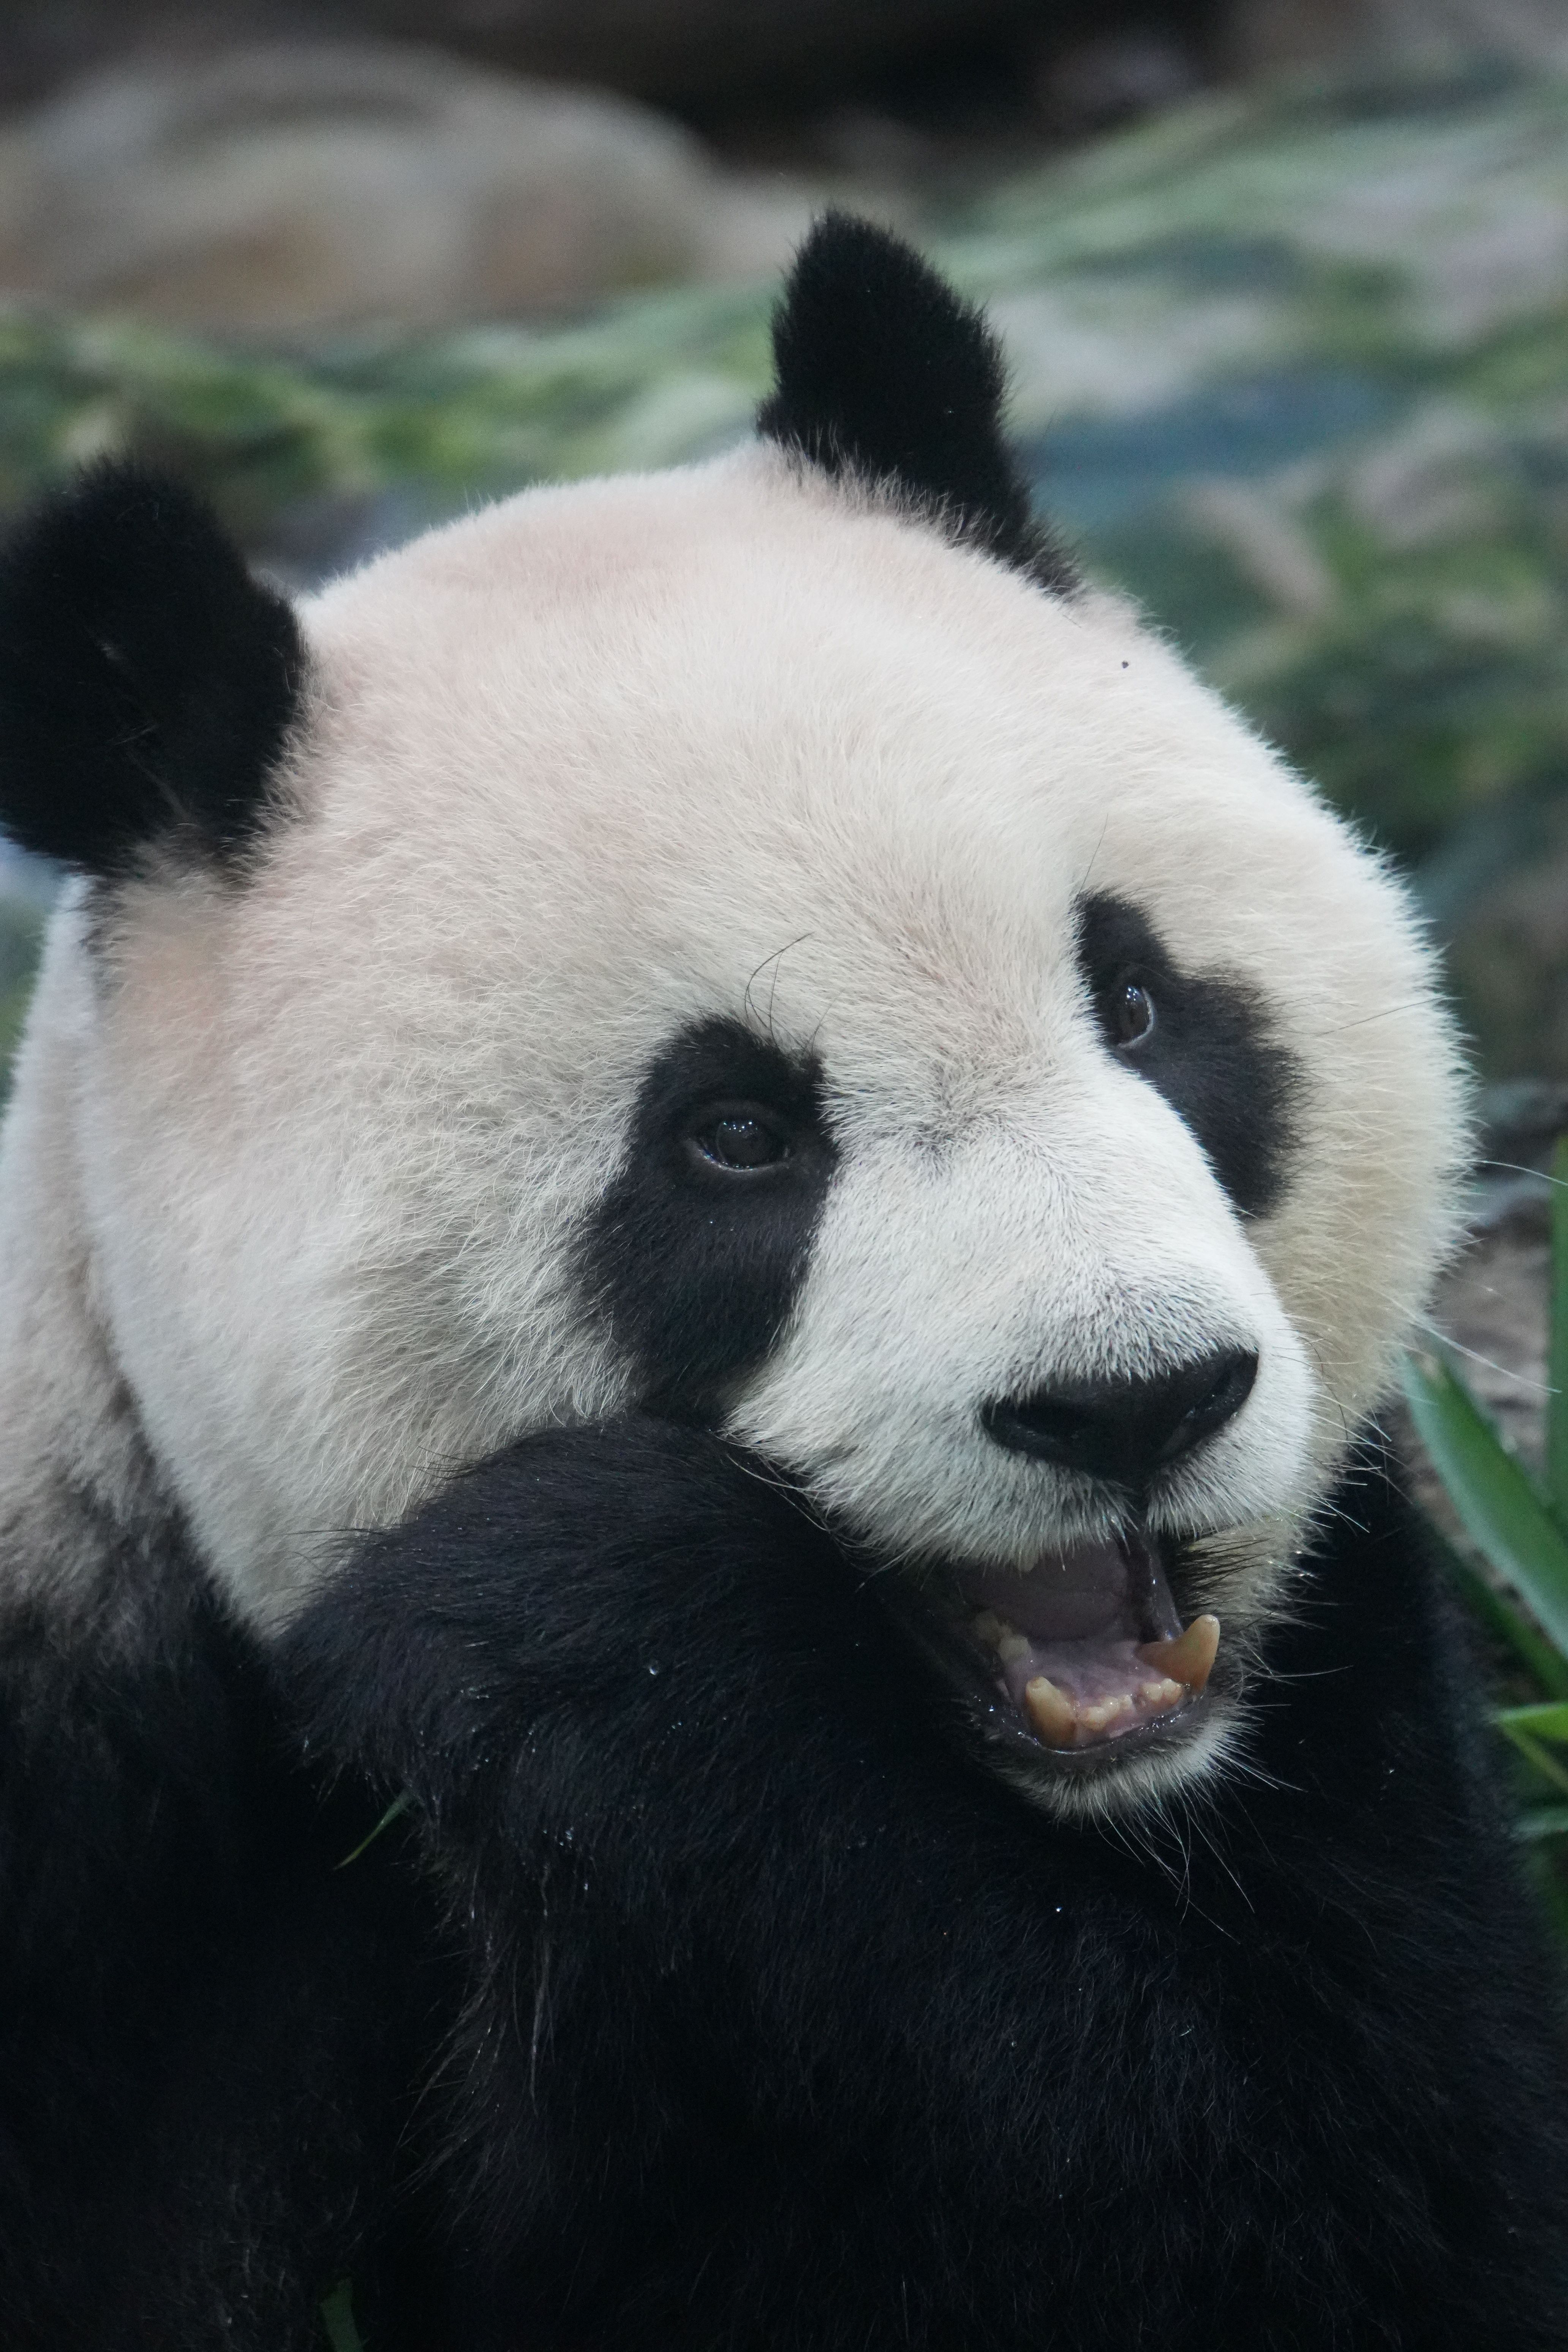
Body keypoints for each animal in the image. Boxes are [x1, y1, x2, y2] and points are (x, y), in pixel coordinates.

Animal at [0, 212, 1565, 2350]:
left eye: (1140, 1002)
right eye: (733, 1132)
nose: (1132, 1400)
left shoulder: (1336, 1687)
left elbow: (1351, 2188)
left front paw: (577, 1601)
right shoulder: (94, 1770)